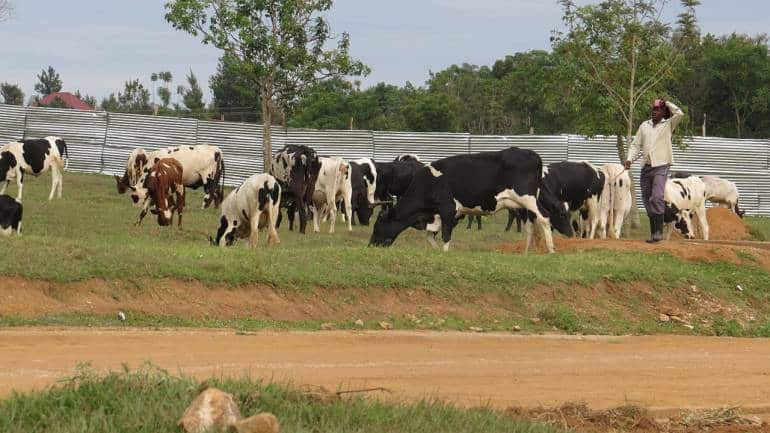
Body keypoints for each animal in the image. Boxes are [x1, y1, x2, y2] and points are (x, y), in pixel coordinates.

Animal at [369, 147, 572, 253]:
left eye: (377, 226)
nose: (370, 246)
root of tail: (532, 154)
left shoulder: (447, 210)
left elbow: (446, 235)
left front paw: (445, 253)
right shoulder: (441, 215)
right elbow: (429, 237)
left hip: (527, 198)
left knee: (544, 218)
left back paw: (551, 249)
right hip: (523, 203)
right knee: (531, 224)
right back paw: (526, 252)